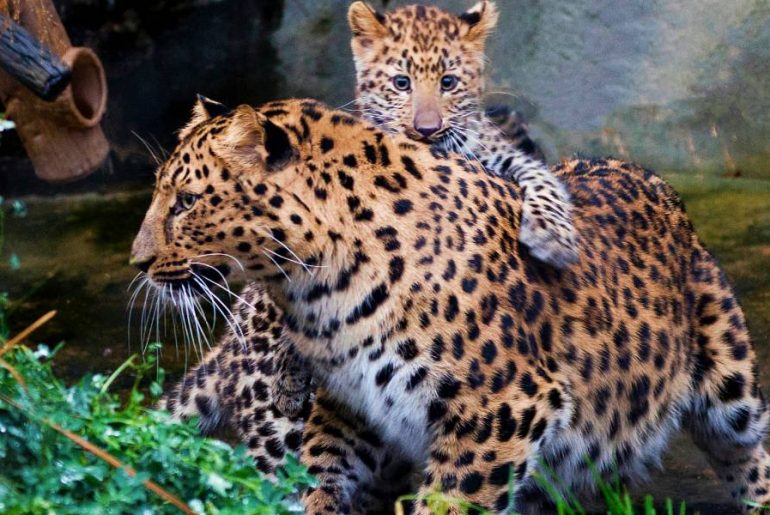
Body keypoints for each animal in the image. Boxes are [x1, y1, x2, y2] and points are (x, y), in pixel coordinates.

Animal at [132, 96, 770, 514]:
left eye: (186, 202)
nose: (138, 262)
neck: (315, 289)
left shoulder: (501, 410)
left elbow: (450, 501)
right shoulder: (353, 406)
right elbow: (322, 471)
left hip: (729, 376)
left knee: (747, 450)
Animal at [349, 1, 578, 269]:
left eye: (448, 82)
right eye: (401, 83)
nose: (427, 129)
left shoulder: (505, 153)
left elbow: (542, 179)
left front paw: (552, 237)